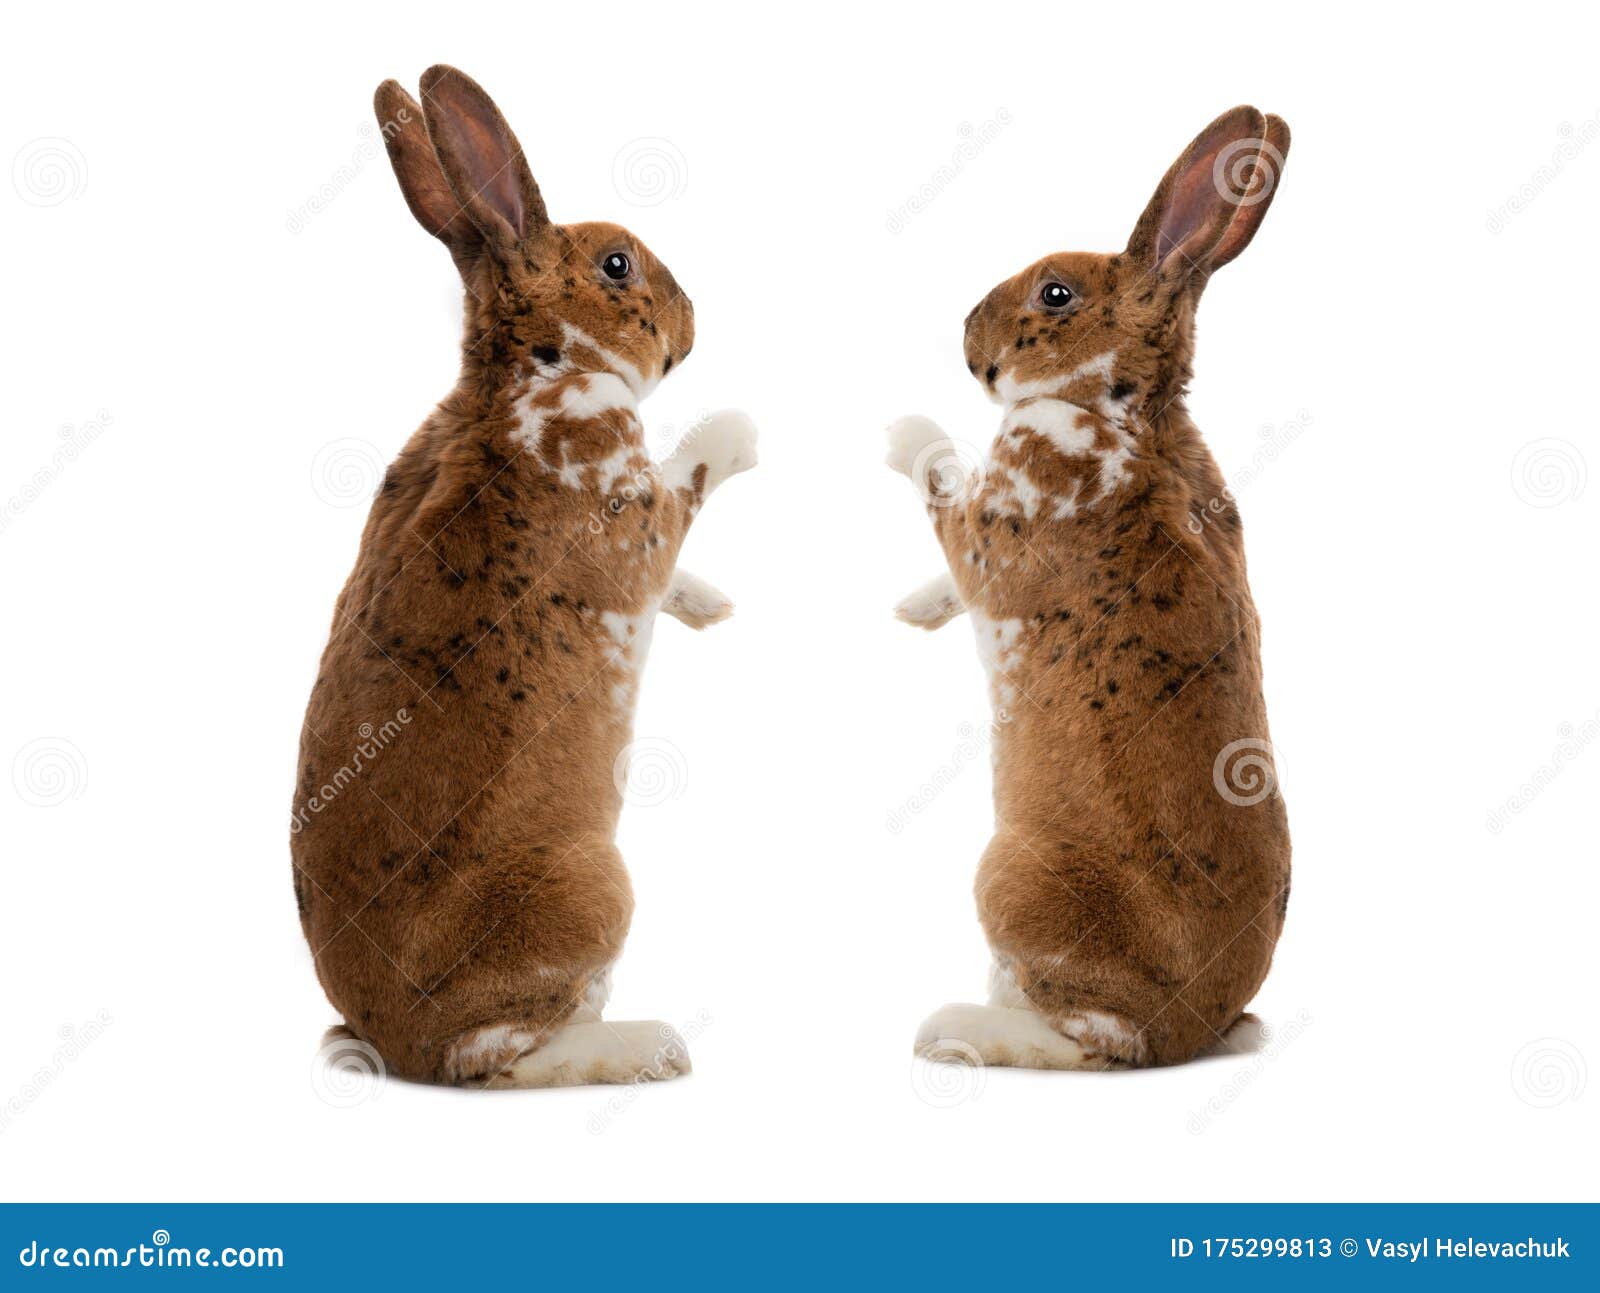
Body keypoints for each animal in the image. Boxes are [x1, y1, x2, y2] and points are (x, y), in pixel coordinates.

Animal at [291, 65, 756, 1088]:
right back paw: (656, 1047)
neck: (526, 380)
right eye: (618, 265)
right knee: (500, 1054)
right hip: (591, 892)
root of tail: (400, 1046)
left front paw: (715, 607)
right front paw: (739, 429)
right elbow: (687, 477)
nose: (693, 321)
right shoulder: (632, 513)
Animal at [887, 106, 1292, 1070]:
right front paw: (913, 609)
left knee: (1093, 1040)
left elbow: (941, 480)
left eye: (1055, 293)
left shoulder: (996, 521)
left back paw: (950, 1030)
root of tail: (1188, 1031)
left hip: (1011, 884)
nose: (968, 337)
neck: (1119, 410)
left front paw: (904, 428)